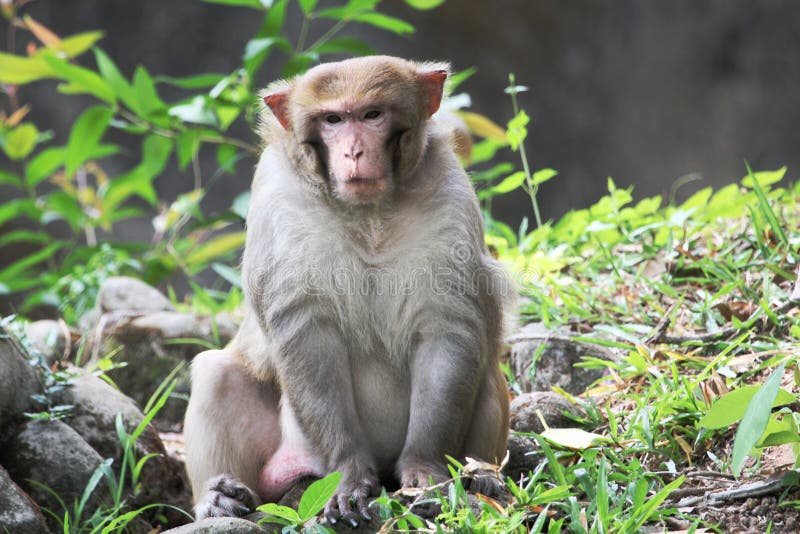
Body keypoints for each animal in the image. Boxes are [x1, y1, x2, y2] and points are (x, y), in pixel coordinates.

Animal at [183, 55, 512, 527]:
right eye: (333, 120)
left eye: (371, 115)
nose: (353, 152)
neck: (368, 212)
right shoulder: (278, 197)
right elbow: (304, 331)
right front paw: (349, 476)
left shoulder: (448, 189)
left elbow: (448, 326)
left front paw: (425, 469)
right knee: (217, 372)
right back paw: (218, 496)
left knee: (484, 368)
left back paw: (482, 476)